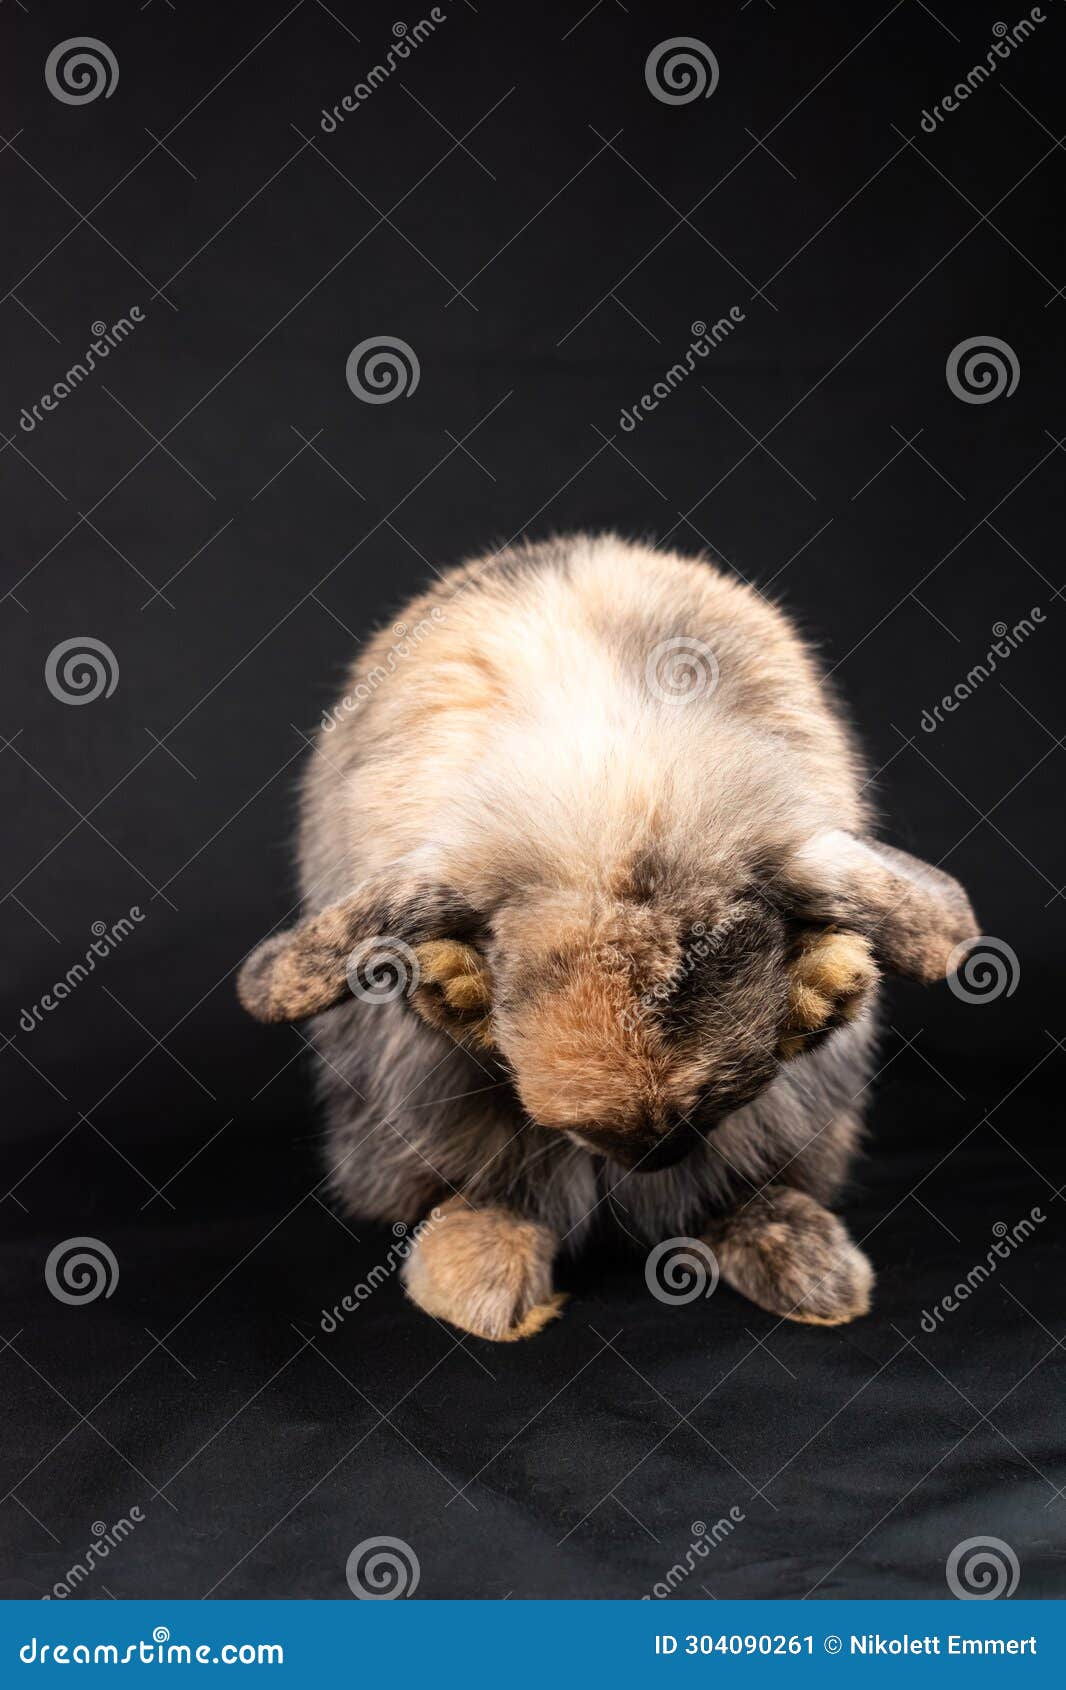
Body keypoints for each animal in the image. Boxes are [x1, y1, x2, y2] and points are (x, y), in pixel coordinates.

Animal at [238, 534, 978, 1341]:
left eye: (714, 1098)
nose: (653, 1154)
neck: (621, 791)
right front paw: (455, 985)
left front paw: (824, 983)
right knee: (485, 1188)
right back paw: (483, 1283)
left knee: (740, 1189)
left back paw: (807, 1266)